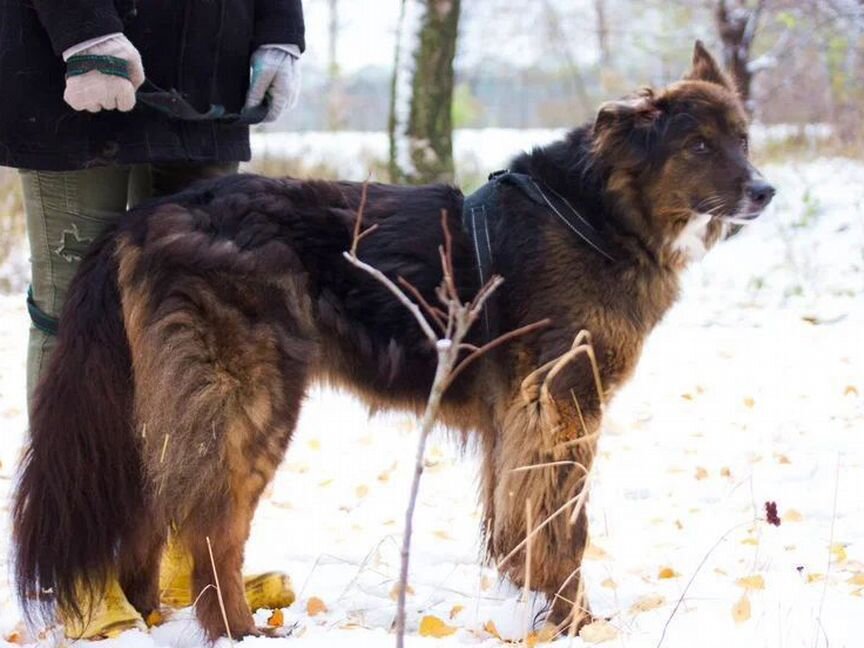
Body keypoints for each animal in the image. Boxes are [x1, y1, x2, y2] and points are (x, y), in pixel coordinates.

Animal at [13, 43, 772, 640]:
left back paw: (152, 617)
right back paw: (236, 628)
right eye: (699, 145)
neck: (595, 213)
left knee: (150, 512)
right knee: (209, 526)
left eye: (742, 138)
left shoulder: (519, 424)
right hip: (252, 402)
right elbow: (565, 530)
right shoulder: (561, 404)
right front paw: (575, 624)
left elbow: (519, 528)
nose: (765, 191)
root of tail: (148, 217)